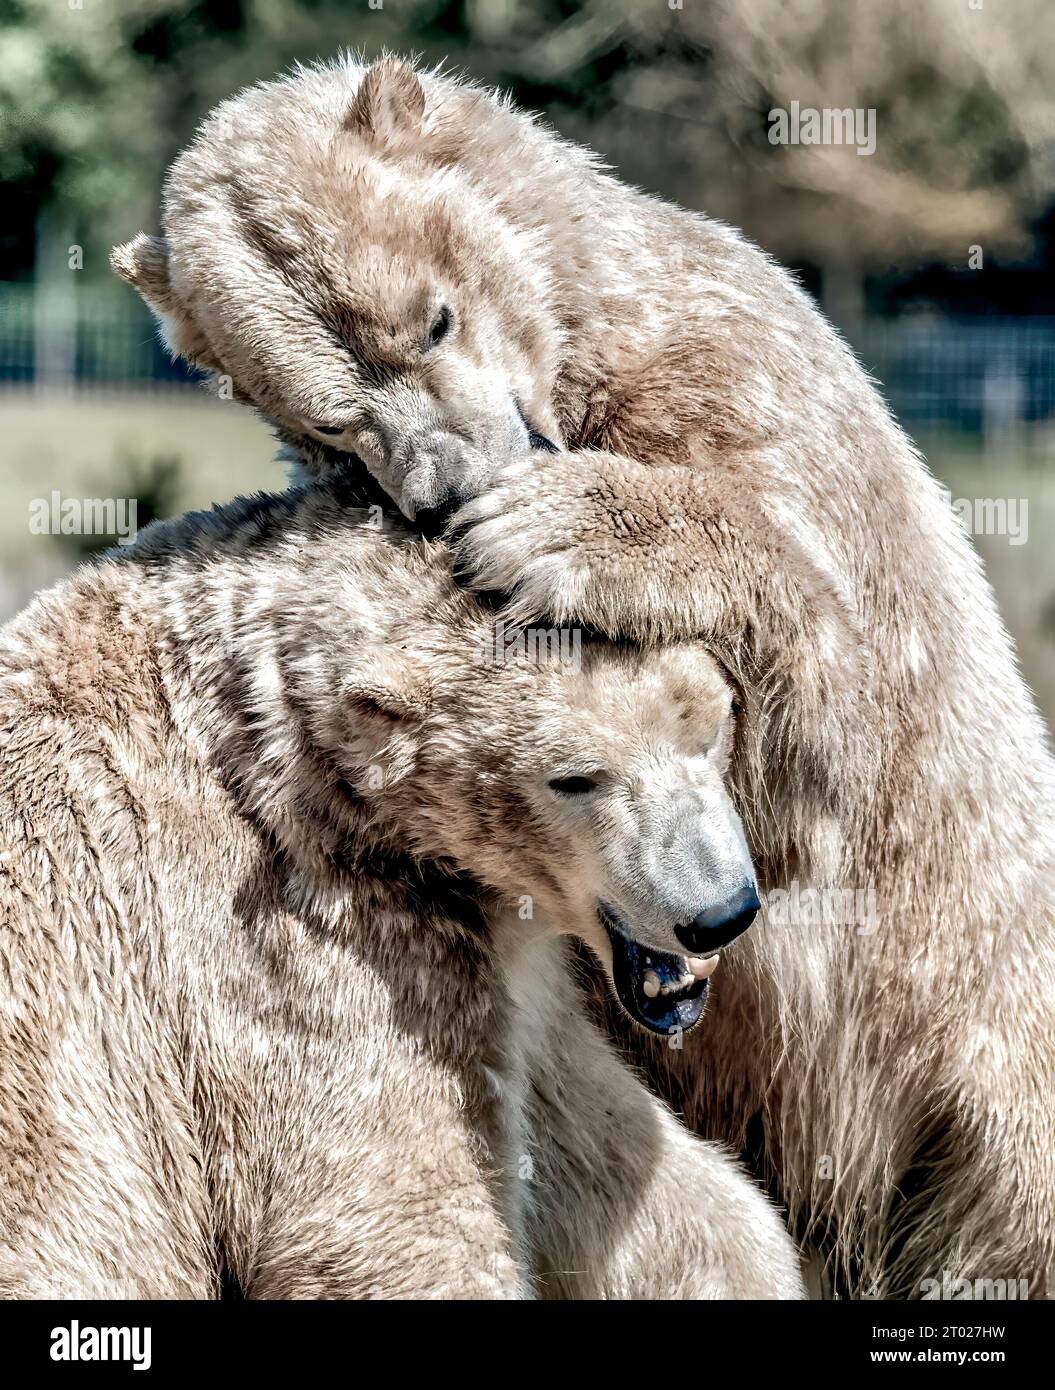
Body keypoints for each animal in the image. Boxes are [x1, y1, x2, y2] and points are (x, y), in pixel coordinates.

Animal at [0, 476, 805, 1300]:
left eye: (711, 724)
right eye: (575, 777)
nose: (719, 916)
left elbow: (617, 1159)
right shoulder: (304, 951)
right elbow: (391, 1221)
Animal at [111, 56, 1055, 1298]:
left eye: (434, 316)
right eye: (330, 415)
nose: (451, 494)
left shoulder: (749, 394)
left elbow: (817, 717)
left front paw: (551, 529)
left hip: (974, 1028)